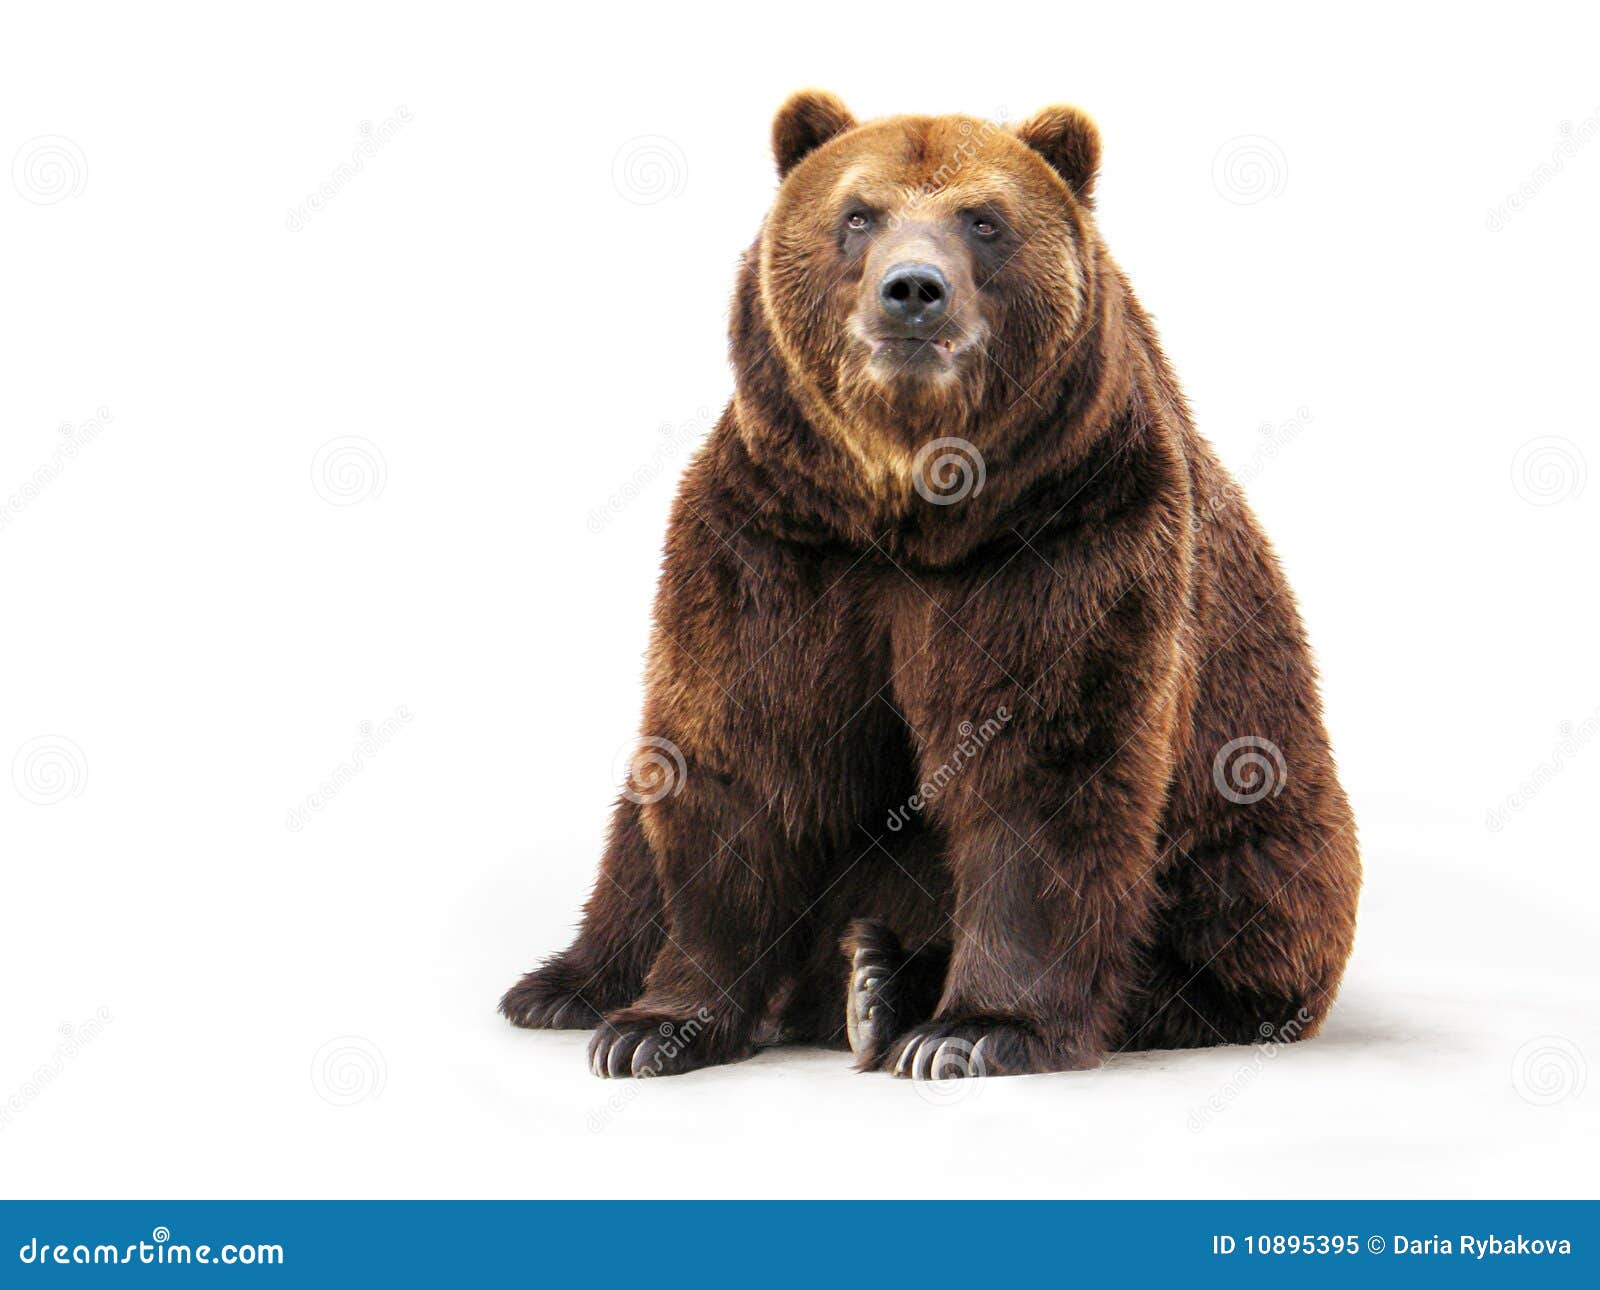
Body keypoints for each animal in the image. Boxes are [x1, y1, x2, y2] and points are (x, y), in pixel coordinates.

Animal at [501, 91, 1361, 1081]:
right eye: (857, 214)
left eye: (984, 220)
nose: (913, 289)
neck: (910, 507)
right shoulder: (776, 541)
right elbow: (743, 750)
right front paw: (653, 1027)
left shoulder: (1068, 536)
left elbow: (1043, 766)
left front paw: (974, 1030)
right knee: (637, 826)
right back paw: (569, 986)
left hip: (1263, 821)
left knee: (1232, 919)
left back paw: (884, 983)